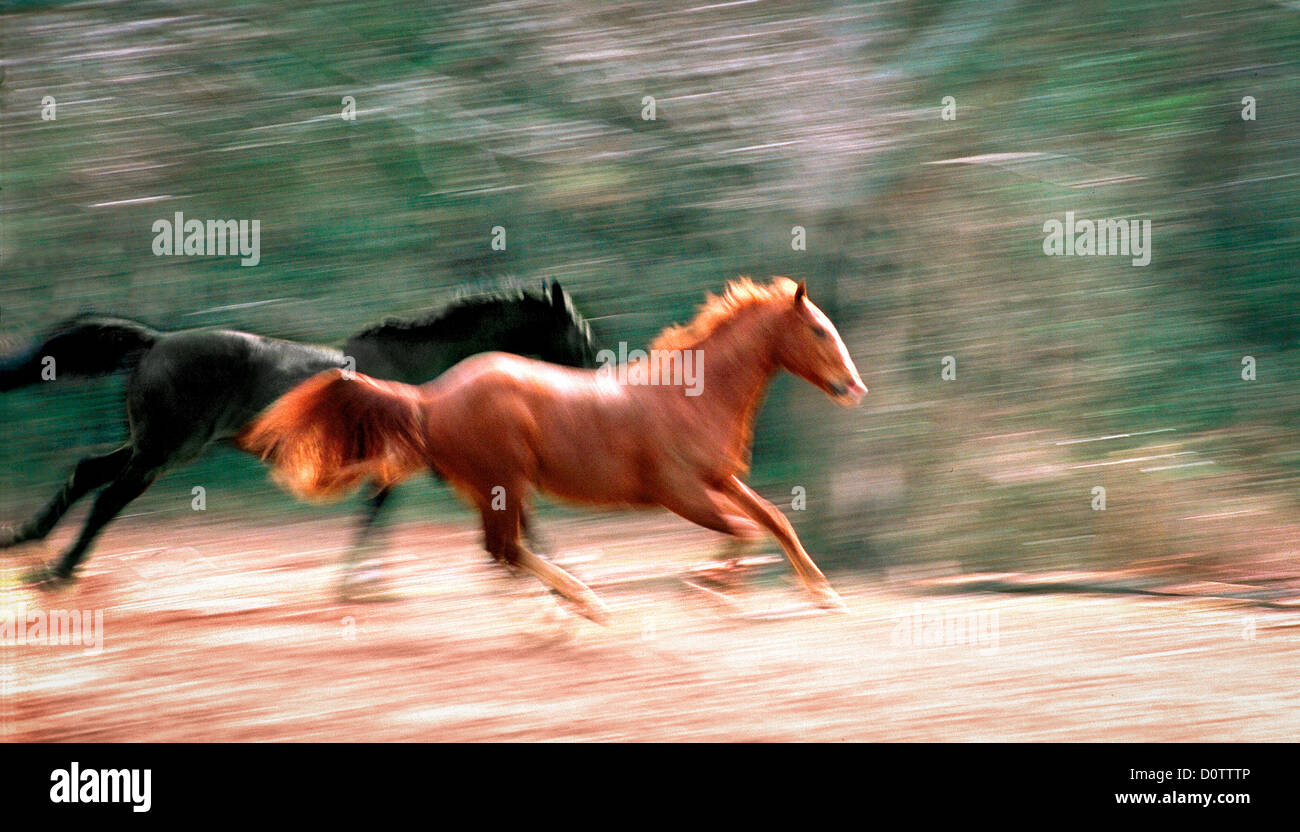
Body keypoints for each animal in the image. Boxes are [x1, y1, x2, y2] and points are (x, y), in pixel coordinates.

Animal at [0, 282, 598, 589]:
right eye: (577, 331)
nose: (595, 374)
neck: (424, 371)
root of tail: (155, 342)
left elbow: (378, 515)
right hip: (165, 450)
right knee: (108, 497)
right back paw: (59, 571)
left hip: (150, 445)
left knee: (86, 473)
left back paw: (26, 543)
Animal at [239, 277, 867, 623]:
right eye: (818, 331)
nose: (854, 387)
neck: (690, 396)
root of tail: (428, 398)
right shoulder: (680, 492)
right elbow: (743, 531)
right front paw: (710, 588)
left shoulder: (720, 479)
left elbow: (775, 521)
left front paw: (825, 596)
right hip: (506, 482)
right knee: (504, 549)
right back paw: (584, 604)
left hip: (495, 490)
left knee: (502, 551)